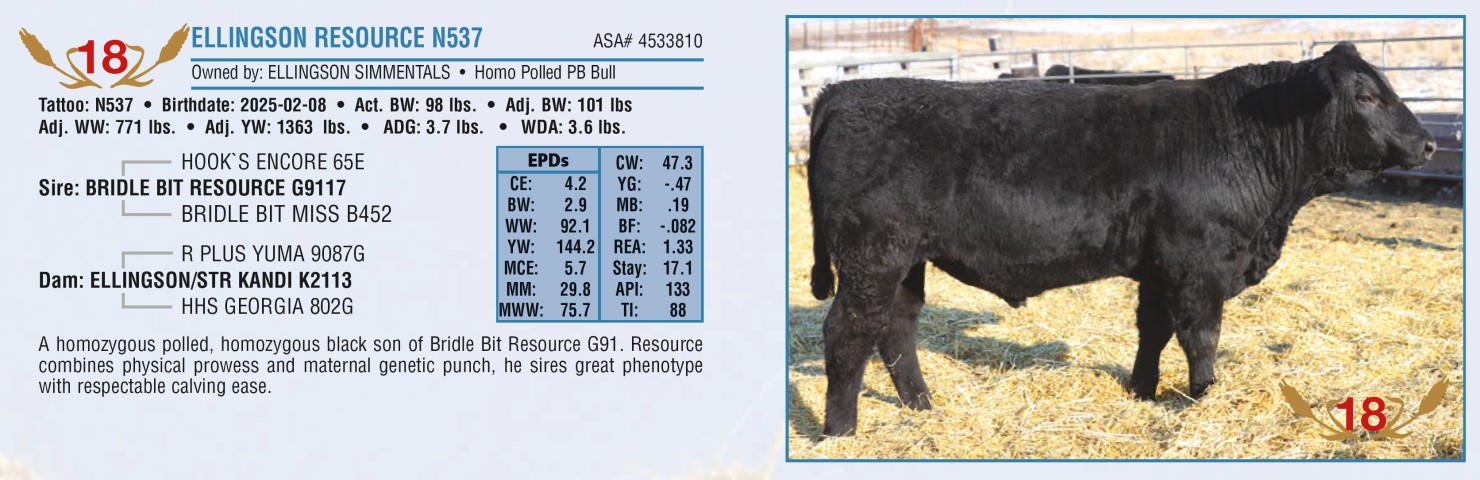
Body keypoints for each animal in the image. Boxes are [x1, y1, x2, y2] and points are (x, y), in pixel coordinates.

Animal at [804, 42, 1435, 436]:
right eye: (1366, 96)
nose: (1428, 144)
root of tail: (844, 92)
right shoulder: (1198, 263)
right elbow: (1200, 336)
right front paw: (1203, 397)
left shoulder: (1160, 266)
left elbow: (1153, 331)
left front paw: (1143, 391)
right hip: (871, 255)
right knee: (848, 333)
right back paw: (841, 431)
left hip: (906, 260)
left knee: (896, 329)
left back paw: (923, 405)